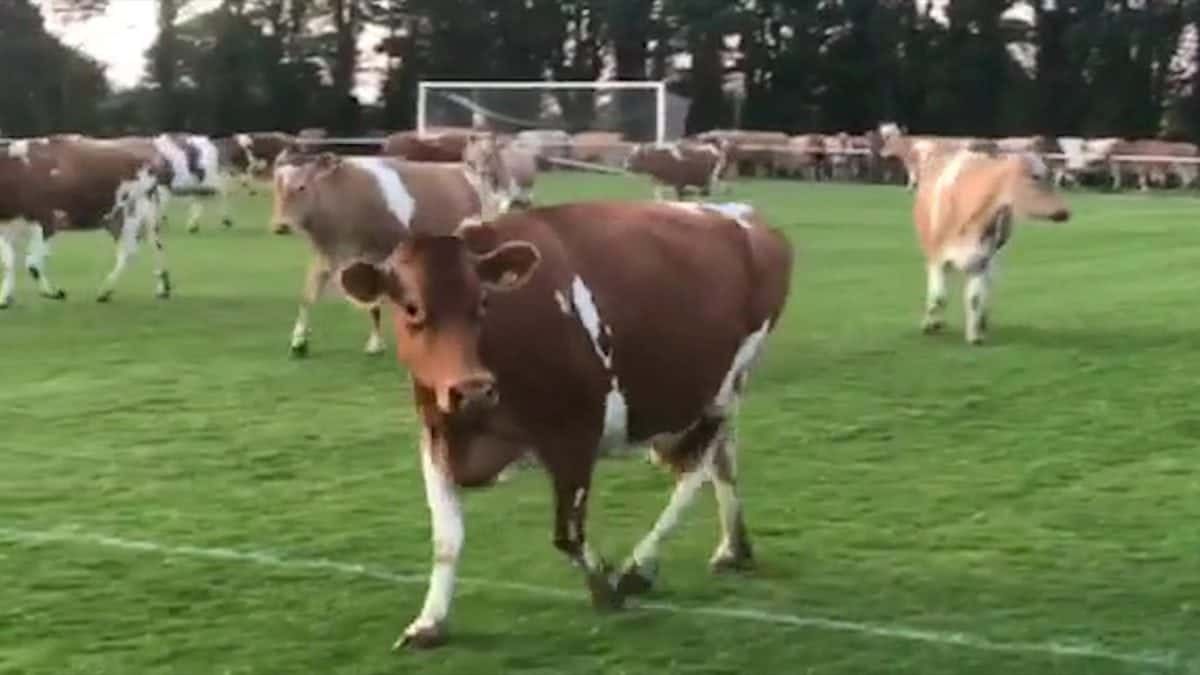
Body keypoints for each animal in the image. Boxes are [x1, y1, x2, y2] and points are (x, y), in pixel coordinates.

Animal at [0, 136, 170, 307]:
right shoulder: (6, 228)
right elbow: (8, 262)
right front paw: (5, 297)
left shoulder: (46, 220)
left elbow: (32, 265)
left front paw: (53, 293)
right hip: (122, 219)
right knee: (156, 246)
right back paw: (163, 288)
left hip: (132, 211)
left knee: (129, 252)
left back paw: (105, 290)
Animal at [270, 150, 502, 356]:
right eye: (276, 189)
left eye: (301, 187)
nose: (281, 226)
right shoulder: (327, 256)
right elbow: (308, 297)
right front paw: (298, 342)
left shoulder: (379, 256)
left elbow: (377, 304)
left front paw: (375, 344)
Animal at [331, 199, 793, 648]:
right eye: (412, 308)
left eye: (483, 302)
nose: (473, 389)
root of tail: (746, 217)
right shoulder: (437, 437)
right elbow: (446, 539)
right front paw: (429, 622)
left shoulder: (575, 434)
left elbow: (567, 535)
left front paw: (605, 587)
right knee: (722, 461)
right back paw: (733, 548)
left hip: (728, 384)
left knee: (698, 469)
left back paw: (640, 567)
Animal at [914, 149, 1071, 345]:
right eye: (1035, 177)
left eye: (1051, 175)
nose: (1064, 212)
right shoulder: (937, 257)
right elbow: (939, 296)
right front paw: (931, 325)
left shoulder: (983, 259)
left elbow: (975, 298)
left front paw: (975, 336)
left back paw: (982, 321)